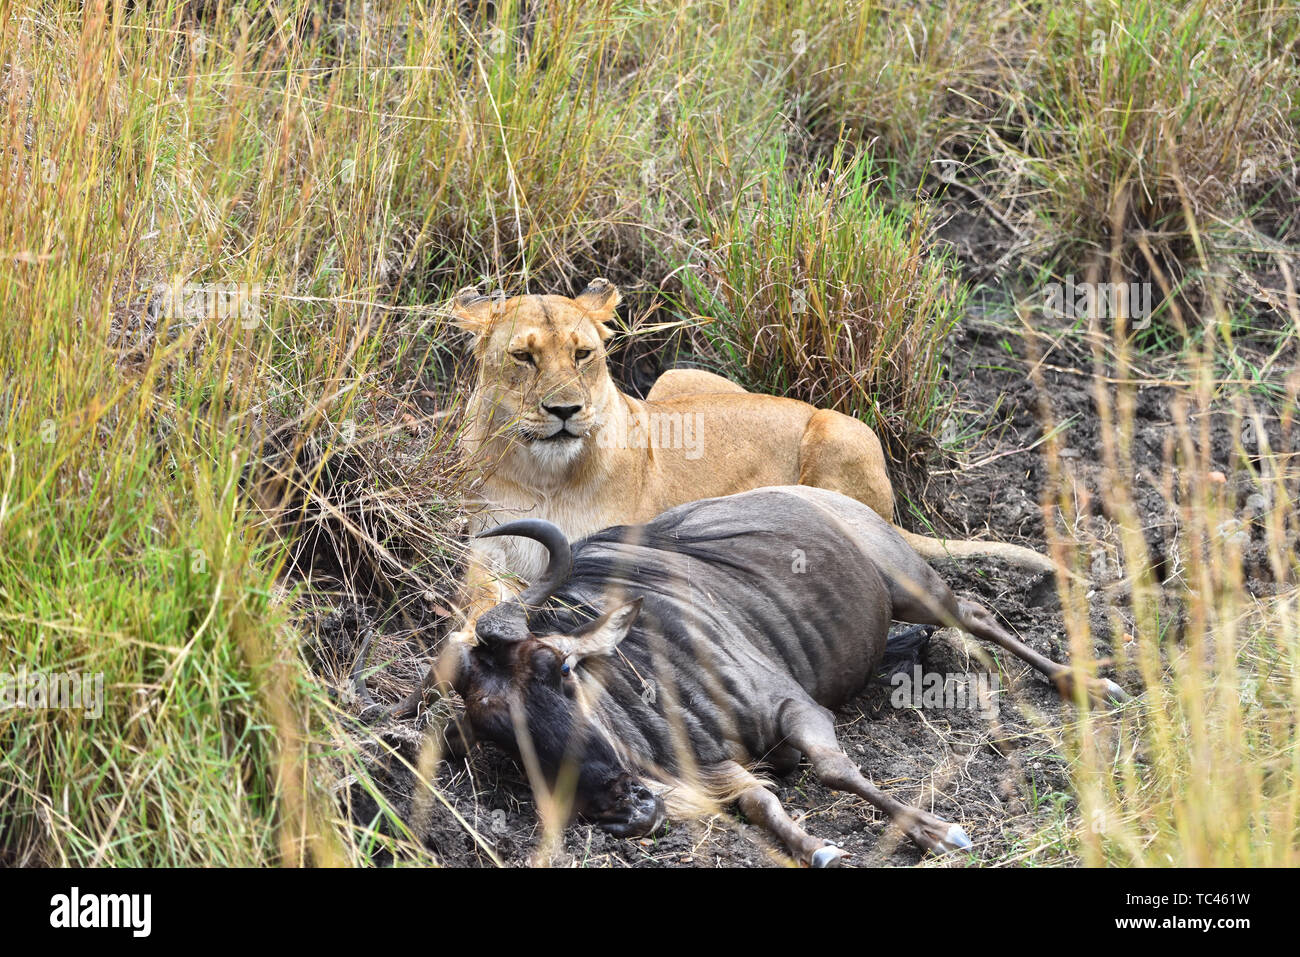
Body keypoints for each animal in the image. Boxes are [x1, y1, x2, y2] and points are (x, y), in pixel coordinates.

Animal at [447, 278, 1056, 631]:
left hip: (839, 429)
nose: (566, 410)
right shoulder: (488, 552)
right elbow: (478, 600)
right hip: (675, 377)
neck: (545, 476)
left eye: (583, 355)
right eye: (523, 357)